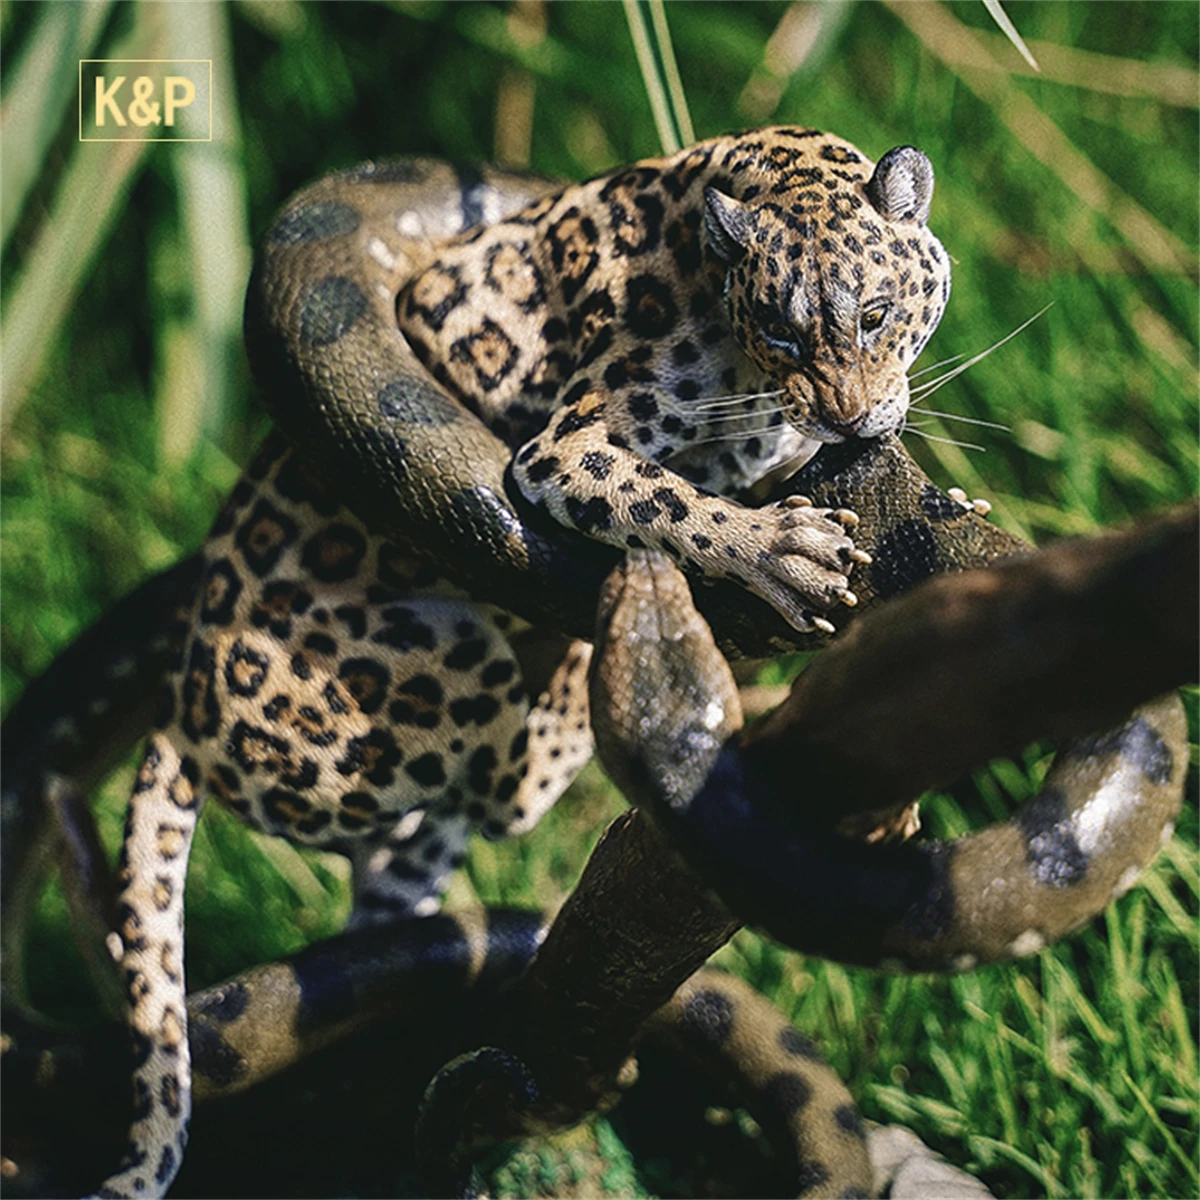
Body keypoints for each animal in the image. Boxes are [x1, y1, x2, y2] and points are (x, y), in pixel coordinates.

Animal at [93, 127, 953, 1198]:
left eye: (874, 315)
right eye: (782, 334)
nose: (842, 416)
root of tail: (179, 710)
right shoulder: (563, 449)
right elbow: (669, 499)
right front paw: (778, 548)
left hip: (416, 833)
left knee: (404, 871)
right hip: (446, 670)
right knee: (509, 776)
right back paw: (610, 650)